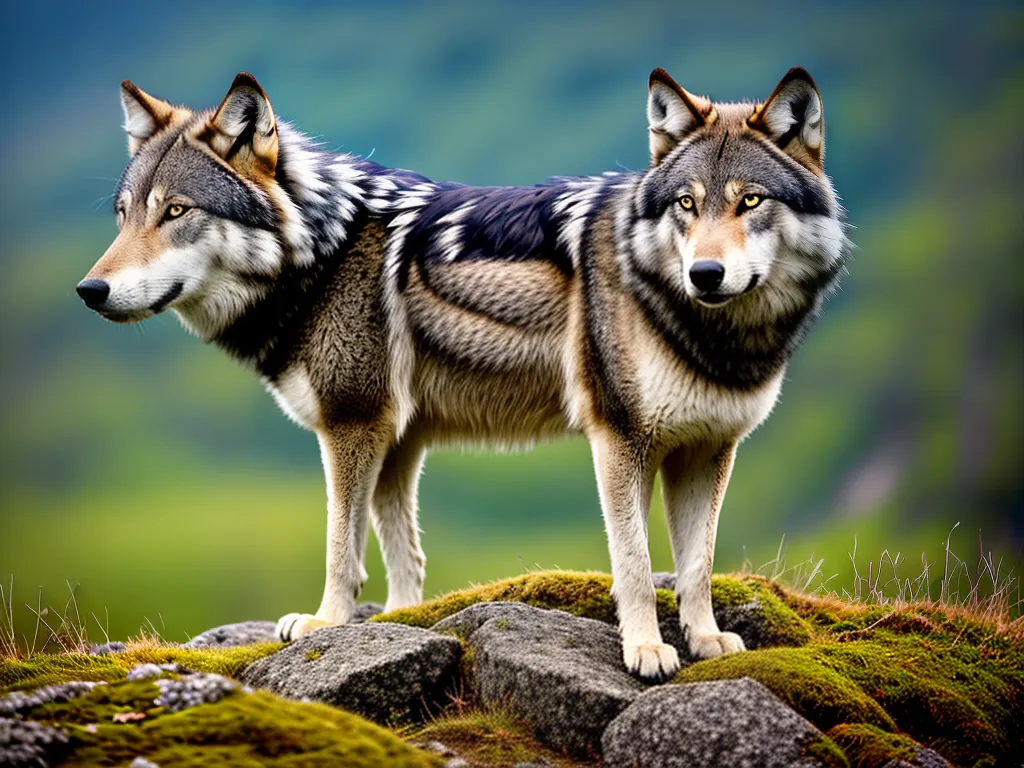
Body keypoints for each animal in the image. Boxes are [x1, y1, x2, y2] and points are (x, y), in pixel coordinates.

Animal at [78, 67, 847, 681]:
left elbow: (671, 564)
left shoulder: (688, 447)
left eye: (176, 212)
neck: (323, 250)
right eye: (124, 216)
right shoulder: (394, 437)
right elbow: (397, 557)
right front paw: (390, 622)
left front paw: (677, 646)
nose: (90, 290)